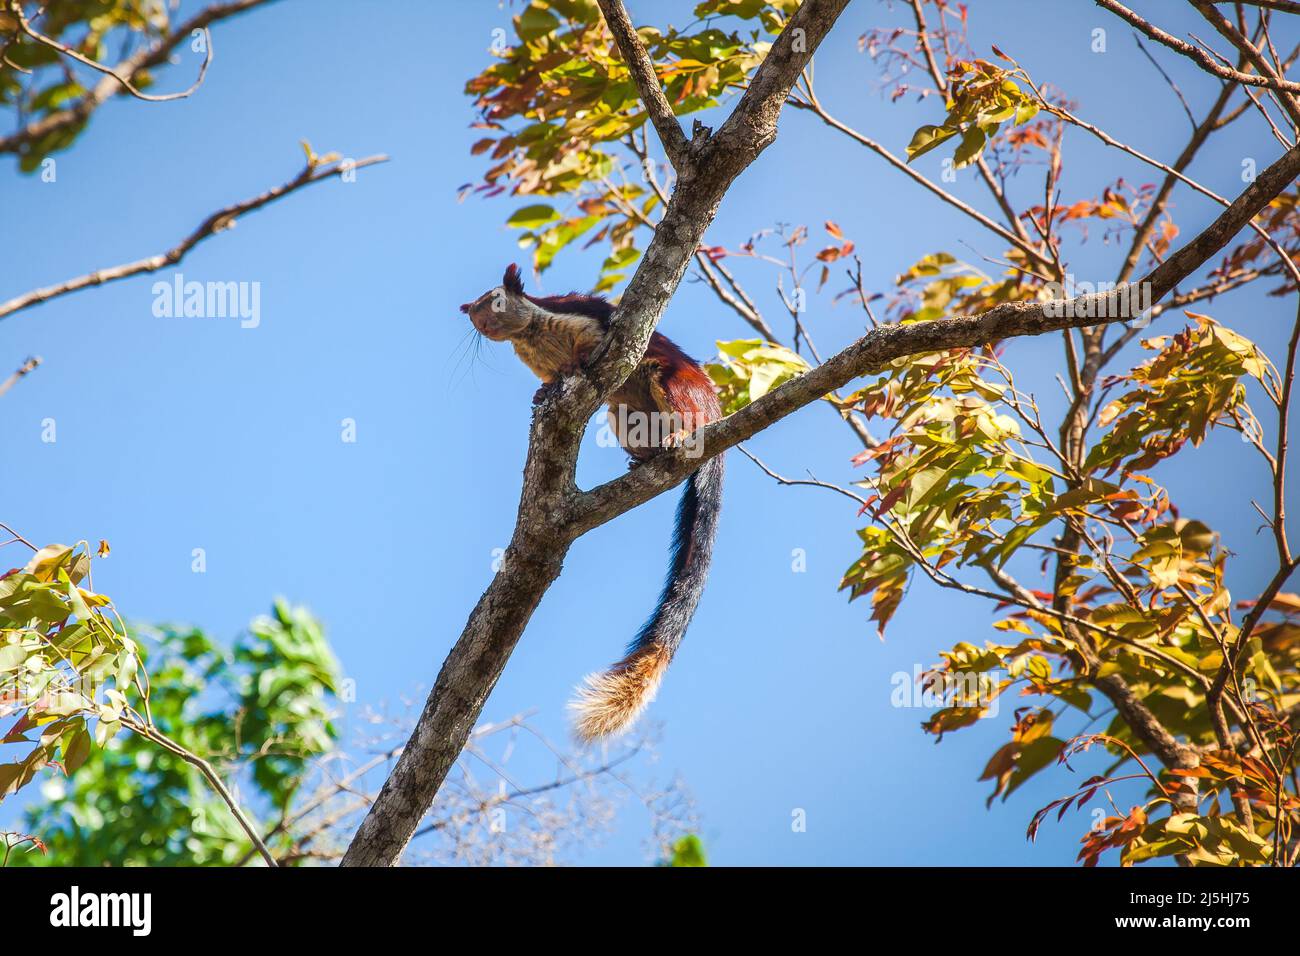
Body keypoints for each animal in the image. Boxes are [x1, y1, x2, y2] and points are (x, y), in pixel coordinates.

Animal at [460, 264, 724, 740]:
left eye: (496, 299)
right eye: (473, 310)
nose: (480, 320)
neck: (531, 337)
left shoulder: (585, 322)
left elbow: (591, 342)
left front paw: (575, 364)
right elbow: (547, 382)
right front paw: (542, 394)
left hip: (674, 383)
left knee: (683, 407)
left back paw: (681, 435)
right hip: (623, 416)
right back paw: (643, 459)